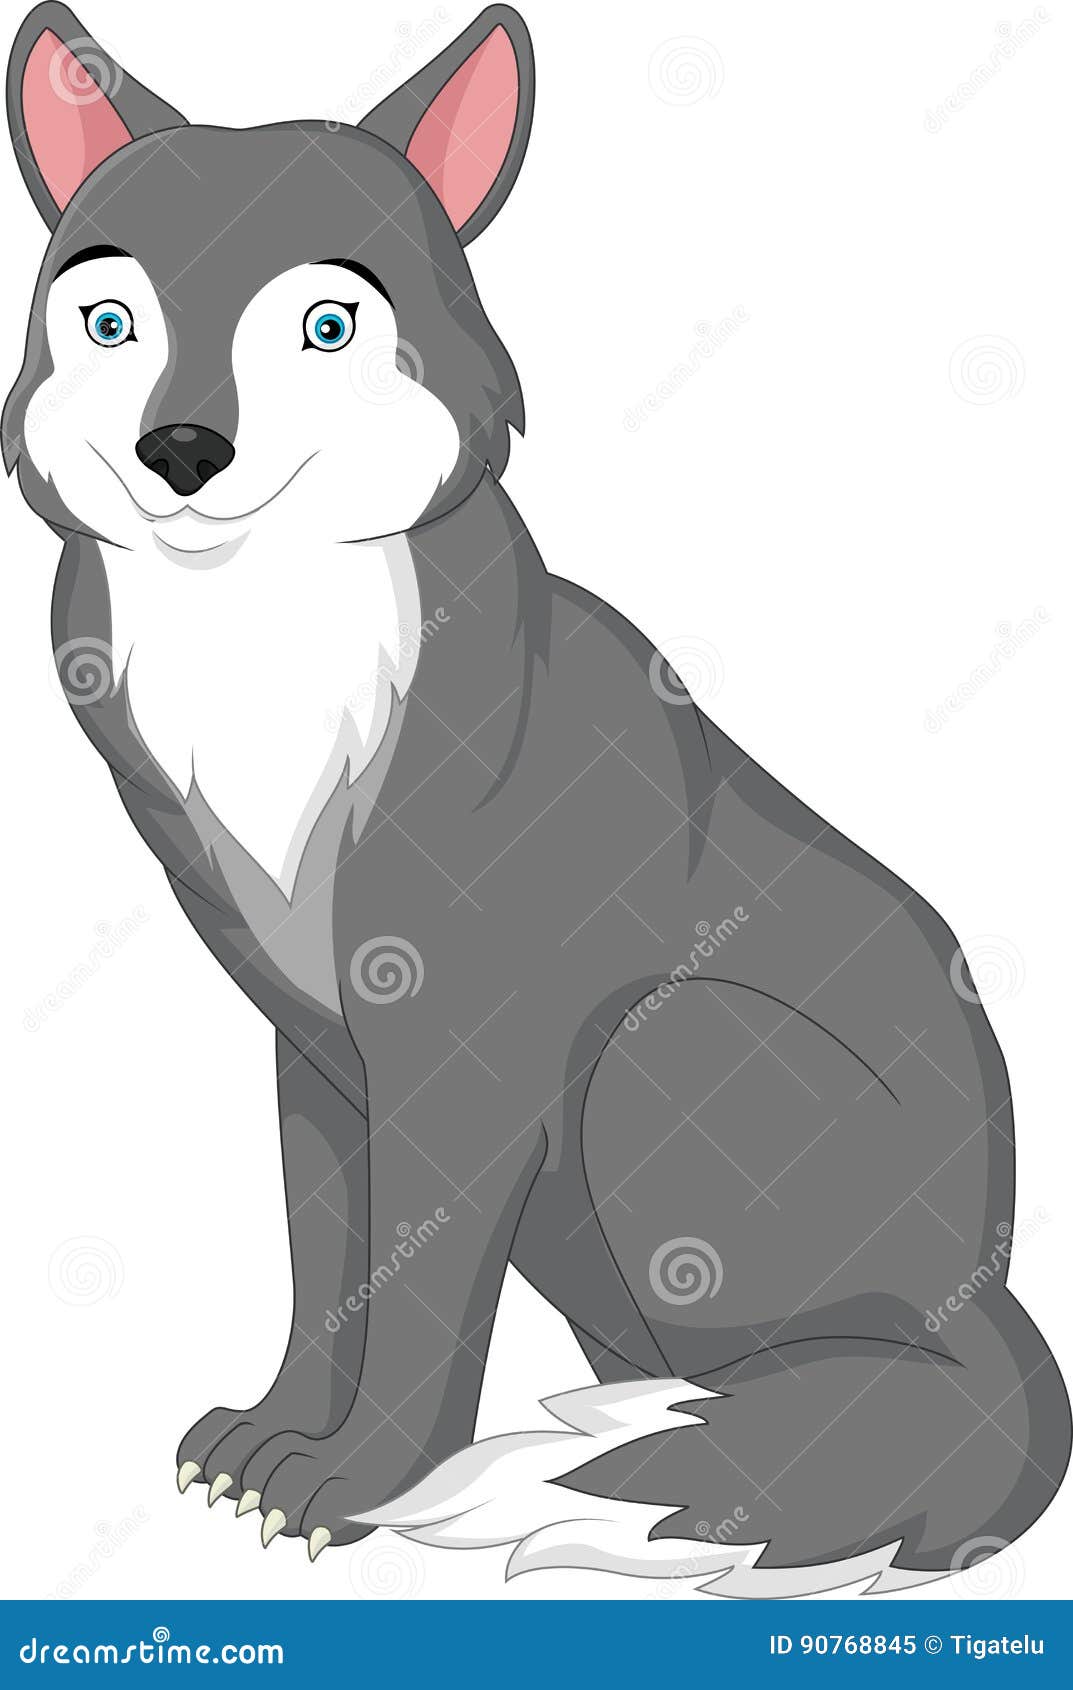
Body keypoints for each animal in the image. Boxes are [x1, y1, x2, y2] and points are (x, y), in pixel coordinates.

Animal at [5, 2, 1068, 1592]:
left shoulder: (471, 1055)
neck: (265, 660)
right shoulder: (320, 1054)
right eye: (110, 323)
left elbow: (420, 1301)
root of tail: (986, 1313)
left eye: (327, 327)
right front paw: (273, 1439)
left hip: (661, 1047)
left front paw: (358, 1483)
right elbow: (330, 1268)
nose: (181, 453)